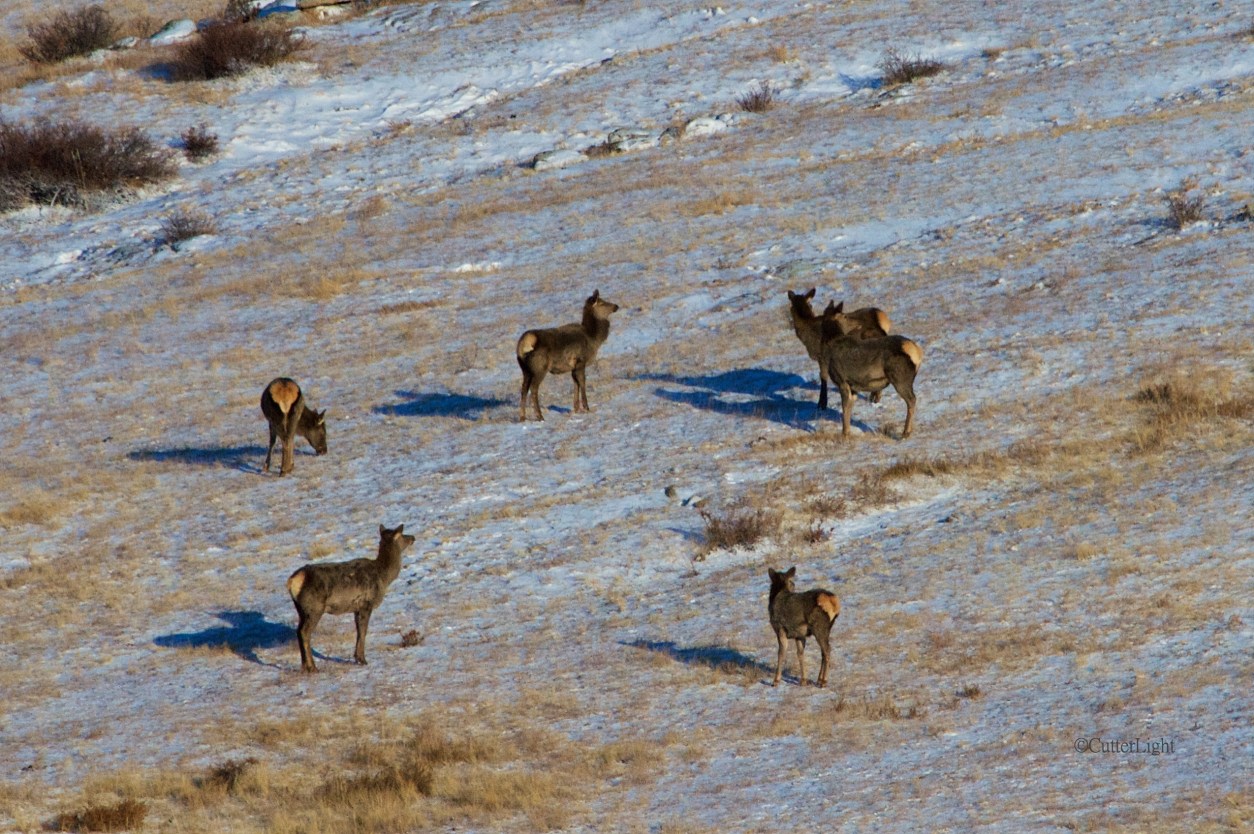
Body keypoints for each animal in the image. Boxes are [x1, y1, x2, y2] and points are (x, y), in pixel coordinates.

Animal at [286, 523, 416, 673]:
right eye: (402, 534)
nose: (413, 537)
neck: (384, 577)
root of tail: (292, 581)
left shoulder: (356, 608)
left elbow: (358, 631)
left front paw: (357, 657)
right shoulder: (366, 604)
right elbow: (363, 631)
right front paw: (362, 660)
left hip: (301, 609)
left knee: (298, 631)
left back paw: (304, 666)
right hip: (314, 608)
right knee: (304, 632)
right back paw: (312, 667)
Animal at [516, 289, 620, 421]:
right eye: (602, 303)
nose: (616, 306)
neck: (594, 338)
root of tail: (523, 345)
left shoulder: (573, 367)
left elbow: (575, 384)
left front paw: (576, 408)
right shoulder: (581, 361)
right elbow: (582, 382)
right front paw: (586, 407)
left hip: (525, 370)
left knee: (523, 389)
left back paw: (522, 417)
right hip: (539, 368)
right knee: (533, 389)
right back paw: (540, 416)